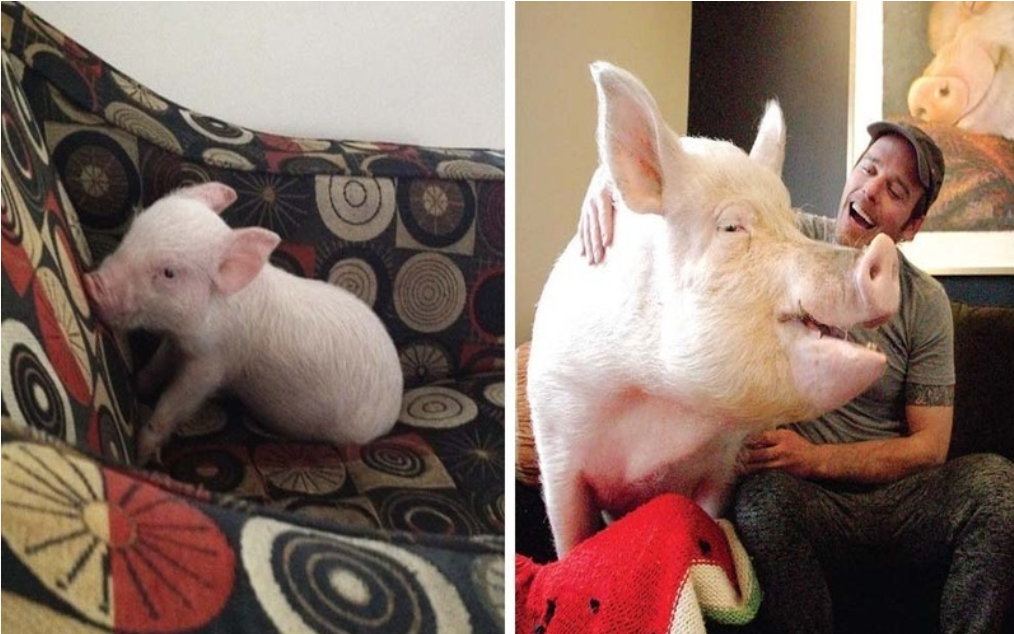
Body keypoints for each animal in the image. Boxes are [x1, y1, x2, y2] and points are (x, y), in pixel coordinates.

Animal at [83, 182, 403, 464]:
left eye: (169, 273)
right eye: (133, 229)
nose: (92, 283)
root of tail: (394, 408)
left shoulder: (213, 362)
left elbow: (179, 398)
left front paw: (144, 452)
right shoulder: (177, 340)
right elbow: (157, 364)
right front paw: (139, 384)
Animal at [527, 62, 900, 557]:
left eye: (792, 222)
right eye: (732, 227)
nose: (884, 253)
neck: (659, 400)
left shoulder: (725, 460)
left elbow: (708, 514)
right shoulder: (556, 446)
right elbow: (570, 538)